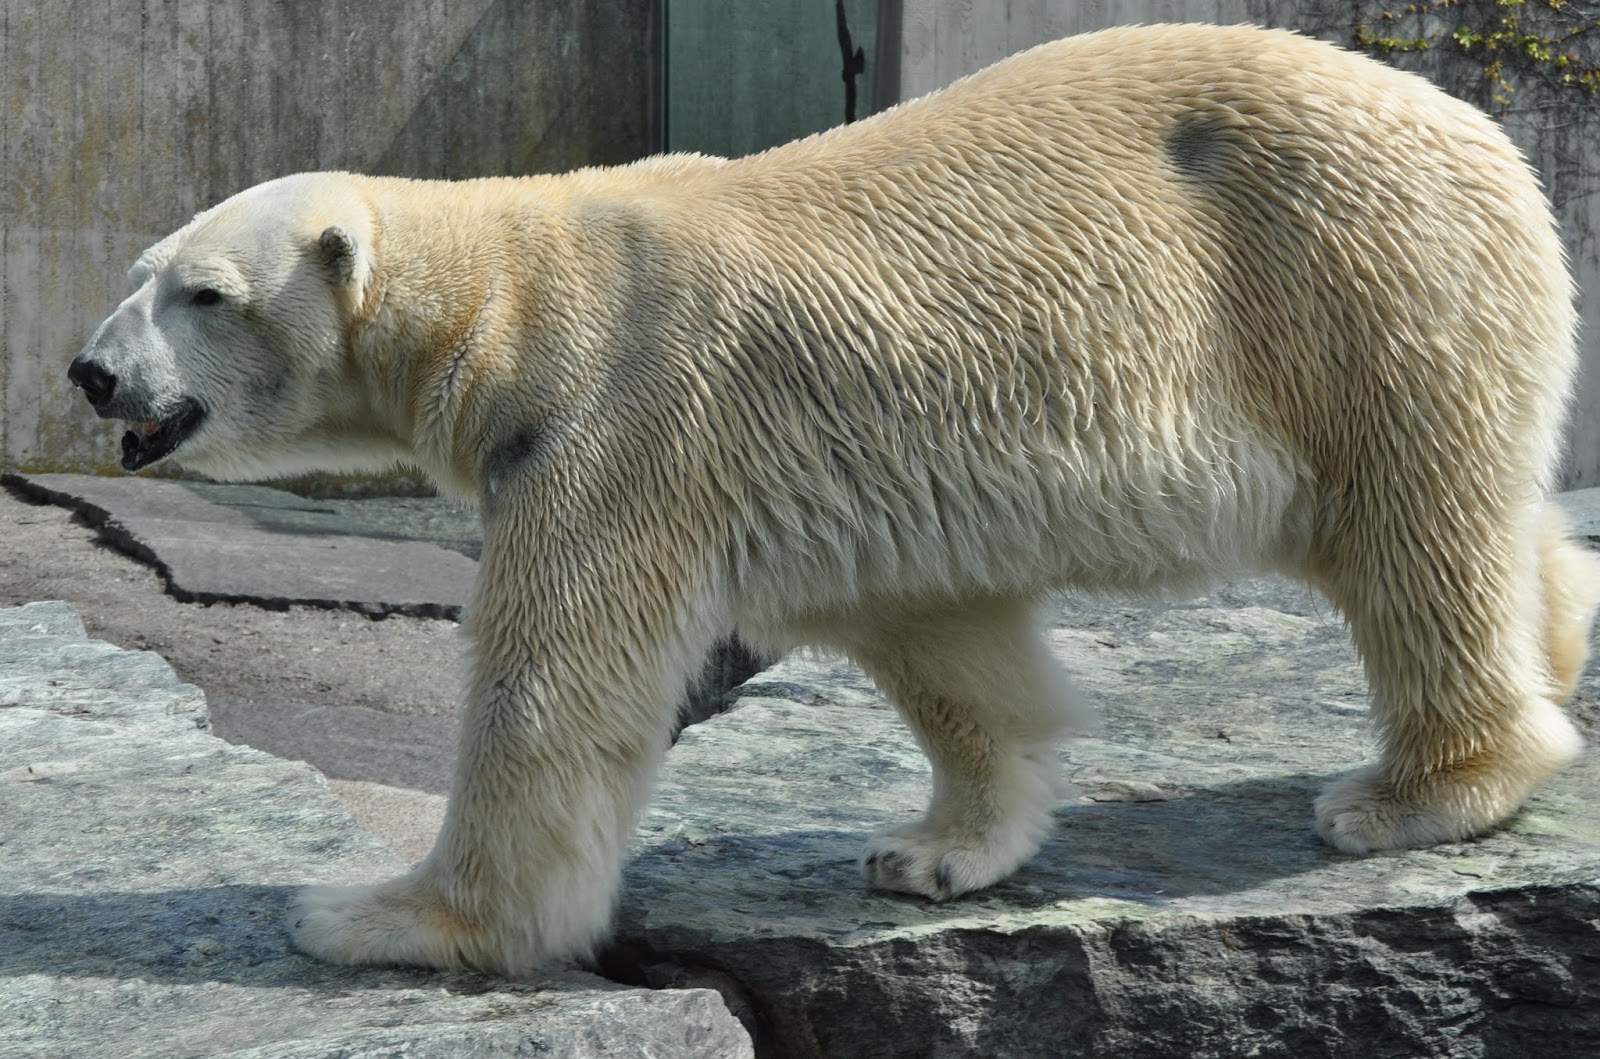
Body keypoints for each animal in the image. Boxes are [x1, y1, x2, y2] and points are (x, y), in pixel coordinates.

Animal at [69, 23, 1599, 975]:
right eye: (139, 271)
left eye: (201, 293)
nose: (91, 372)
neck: (512, 303)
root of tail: (1478, 125)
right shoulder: (861, 492)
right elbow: (951, 648)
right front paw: (934, 852)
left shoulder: (616, 427)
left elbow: (558, 687)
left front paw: (386, 916)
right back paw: (1561, 633)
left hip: (1352, 285)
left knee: (1411, 528)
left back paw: (1421, 791)